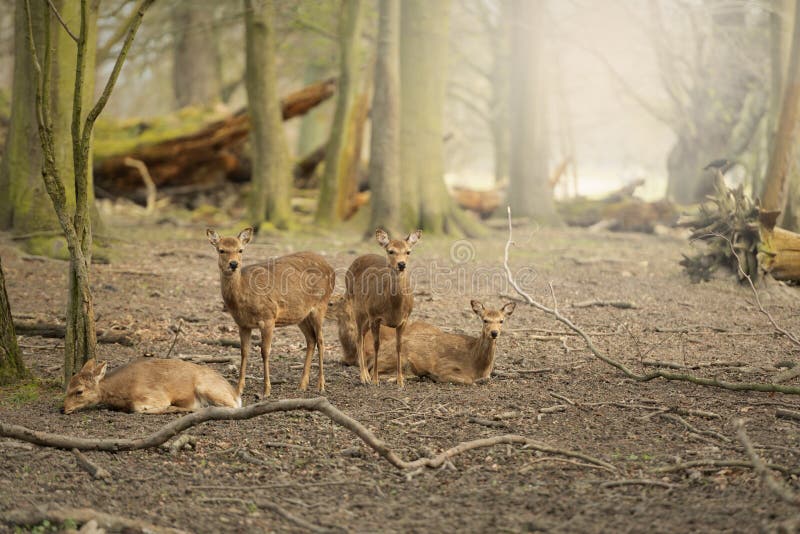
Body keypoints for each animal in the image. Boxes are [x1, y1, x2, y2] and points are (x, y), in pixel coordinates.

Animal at [62, 358, 241, 414]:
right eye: (67, 386)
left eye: (79, 391)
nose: (63, 408)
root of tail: (235, 392)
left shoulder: (156, 397)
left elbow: (139, 408)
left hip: (206, 387)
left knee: (233, 407)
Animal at [206, 227, 335, 397]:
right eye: (221, 250)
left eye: (240, 250)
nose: (233, 264)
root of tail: (331, 268)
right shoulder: (242, 324)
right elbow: (244, 352)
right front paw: (238, 389)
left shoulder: (269, 318)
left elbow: (265, 351)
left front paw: (266, 390)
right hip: (301, 315)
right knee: (311, 340)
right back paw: (302, 384)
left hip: (321, 305)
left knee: (321, 340)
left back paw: (321, 385)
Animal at [332, 299, 515, 384]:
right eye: (485, 320)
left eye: (501, 320)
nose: (494, 333)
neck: (477, 364)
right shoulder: (444, 366)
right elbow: (468, 381)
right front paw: (434, 376)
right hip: (399, 358)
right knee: (375, 374)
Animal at [345, 229, 421, 387]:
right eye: (390, 251)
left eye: (408, 251)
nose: (401, 264)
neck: (394, 308)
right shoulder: (375, 316)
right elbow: (376, 345)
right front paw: (375, 380)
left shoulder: (404, 319)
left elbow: (399, 346)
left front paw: (400, 380)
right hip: (358, 308)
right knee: (358, 338)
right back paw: (364, 377)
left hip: (366, 317)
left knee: (361, 337)